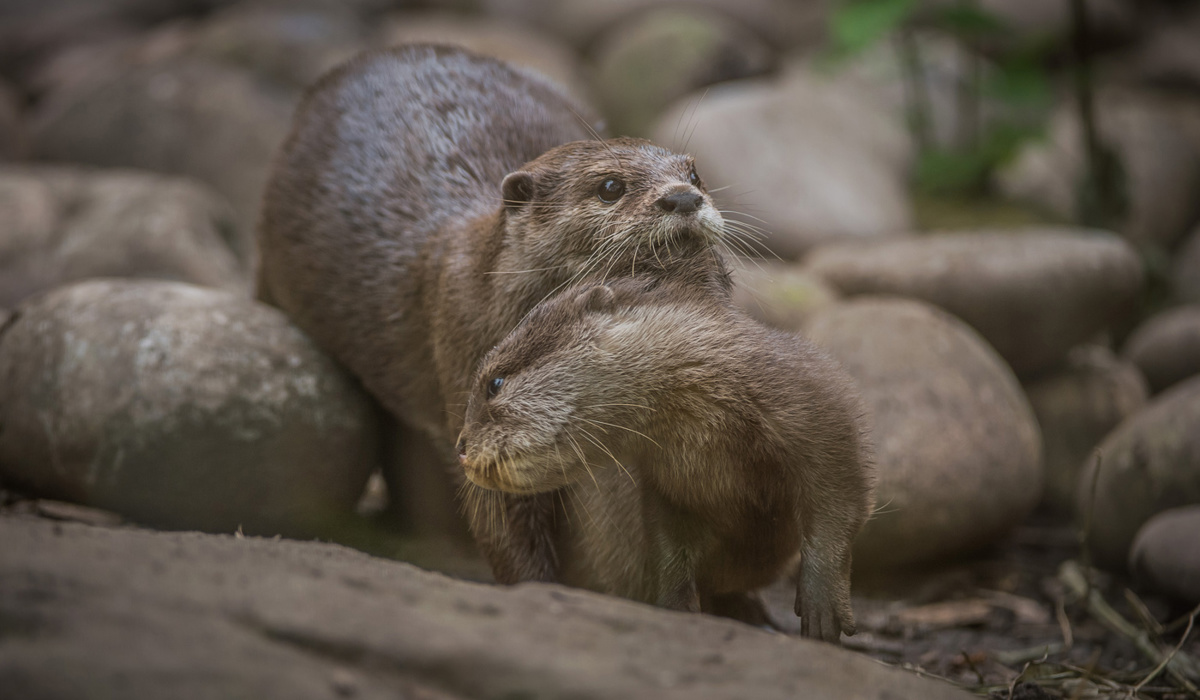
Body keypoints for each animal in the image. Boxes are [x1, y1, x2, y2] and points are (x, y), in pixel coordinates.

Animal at [255, 44, 731, 581]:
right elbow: (499, 510)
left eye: (694, 174)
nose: (685, 197)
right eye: (610, 186)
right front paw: (537, 586)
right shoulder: (467, 358)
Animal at [456, 267, 874, 642]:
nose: (460, 445)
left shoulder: (824, 414)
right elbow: (668, 546)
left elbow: (839, 503)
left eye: (494, 383)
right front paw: (676, 610)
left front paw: (823, 605)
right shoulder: (670, 486)